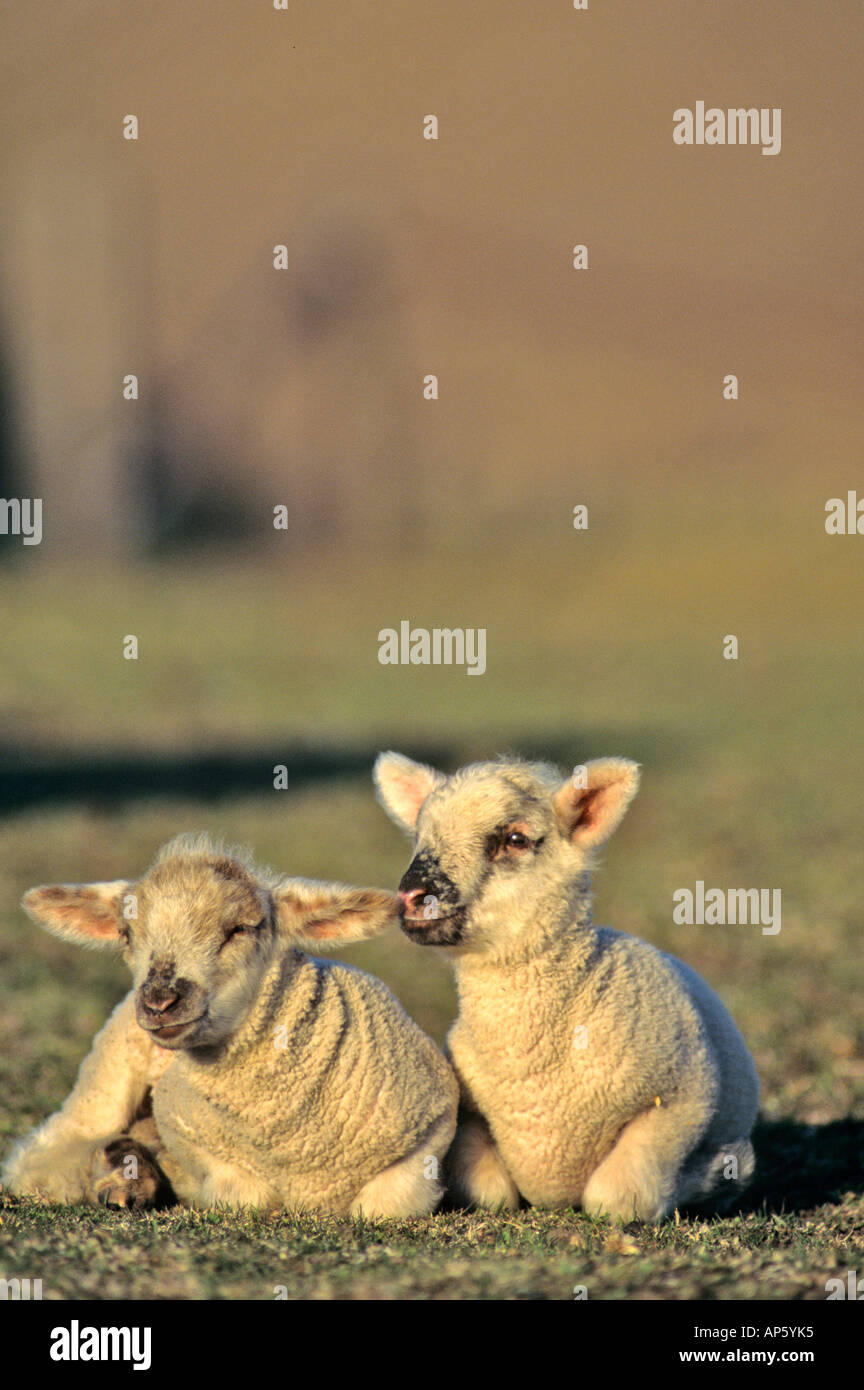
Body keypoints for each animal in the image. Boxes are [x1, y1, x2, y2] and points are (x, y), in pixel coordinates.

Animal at [2, 834, 458, 1219]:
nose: (159, 1002)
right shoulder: (203, 1148)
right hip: (106, 1076)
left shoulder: (428, 1141)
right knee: (51, 1154)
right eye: (127, 935)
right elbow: (248, 1197)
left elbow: (385, 1205)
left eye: (239, 929)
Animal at [373, 752, 760, 1222]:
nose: (412, 895)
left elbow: (615, 1197)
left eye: (515, 839)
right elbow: (489, 1192)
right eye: (418, 836)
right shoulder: (467, 1113)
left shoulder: (683, 1100)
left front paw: (714, 1173)